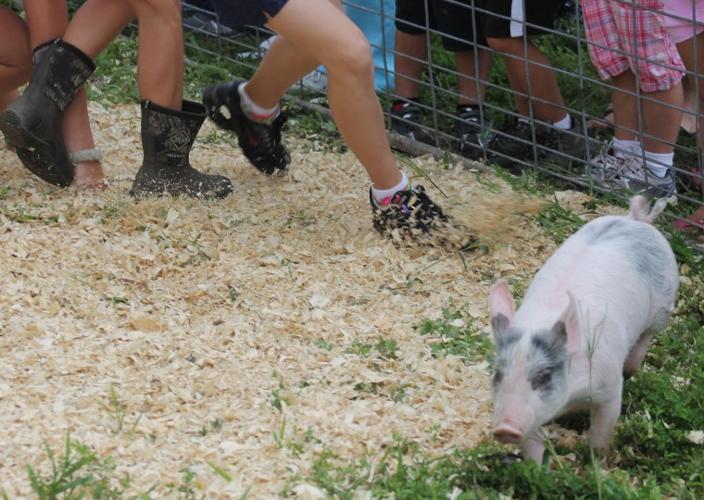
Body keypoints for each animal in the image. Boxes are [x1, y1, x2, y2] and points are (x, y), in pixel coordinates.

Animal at [488, 196, 679, 463]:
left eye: (544, 375)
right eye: (498, 375)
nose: (505, 428)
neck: (573, 398)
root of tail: (636, 220)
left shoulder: (610, 387)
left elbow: (602, 428)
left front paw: (598, 461)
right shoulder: (532, 414)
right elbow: (532, 444)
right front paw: (540, 468)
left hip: (664, 304)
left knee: (647, 337)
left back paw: (631, 368)